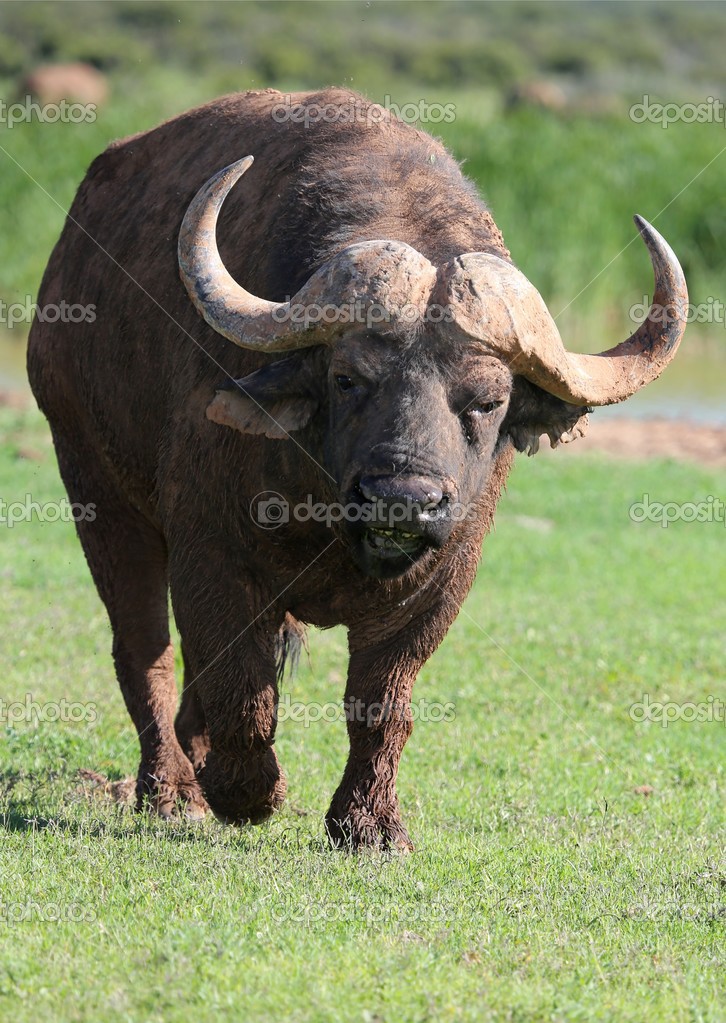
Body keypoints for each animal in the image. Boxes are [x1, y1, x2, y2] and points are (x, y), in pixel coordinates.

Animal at [27, 89, 687, 849]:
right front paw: (246, 793)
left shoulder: (440, 584)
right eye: (347, 379)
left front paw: (369, 824)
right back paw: (171, 790)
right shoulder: (210, 554)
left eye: (488, 400)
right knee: (145, 649)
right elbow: (241, 685)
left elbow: (380, 701)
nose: (403, 500)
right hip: (94, 485)